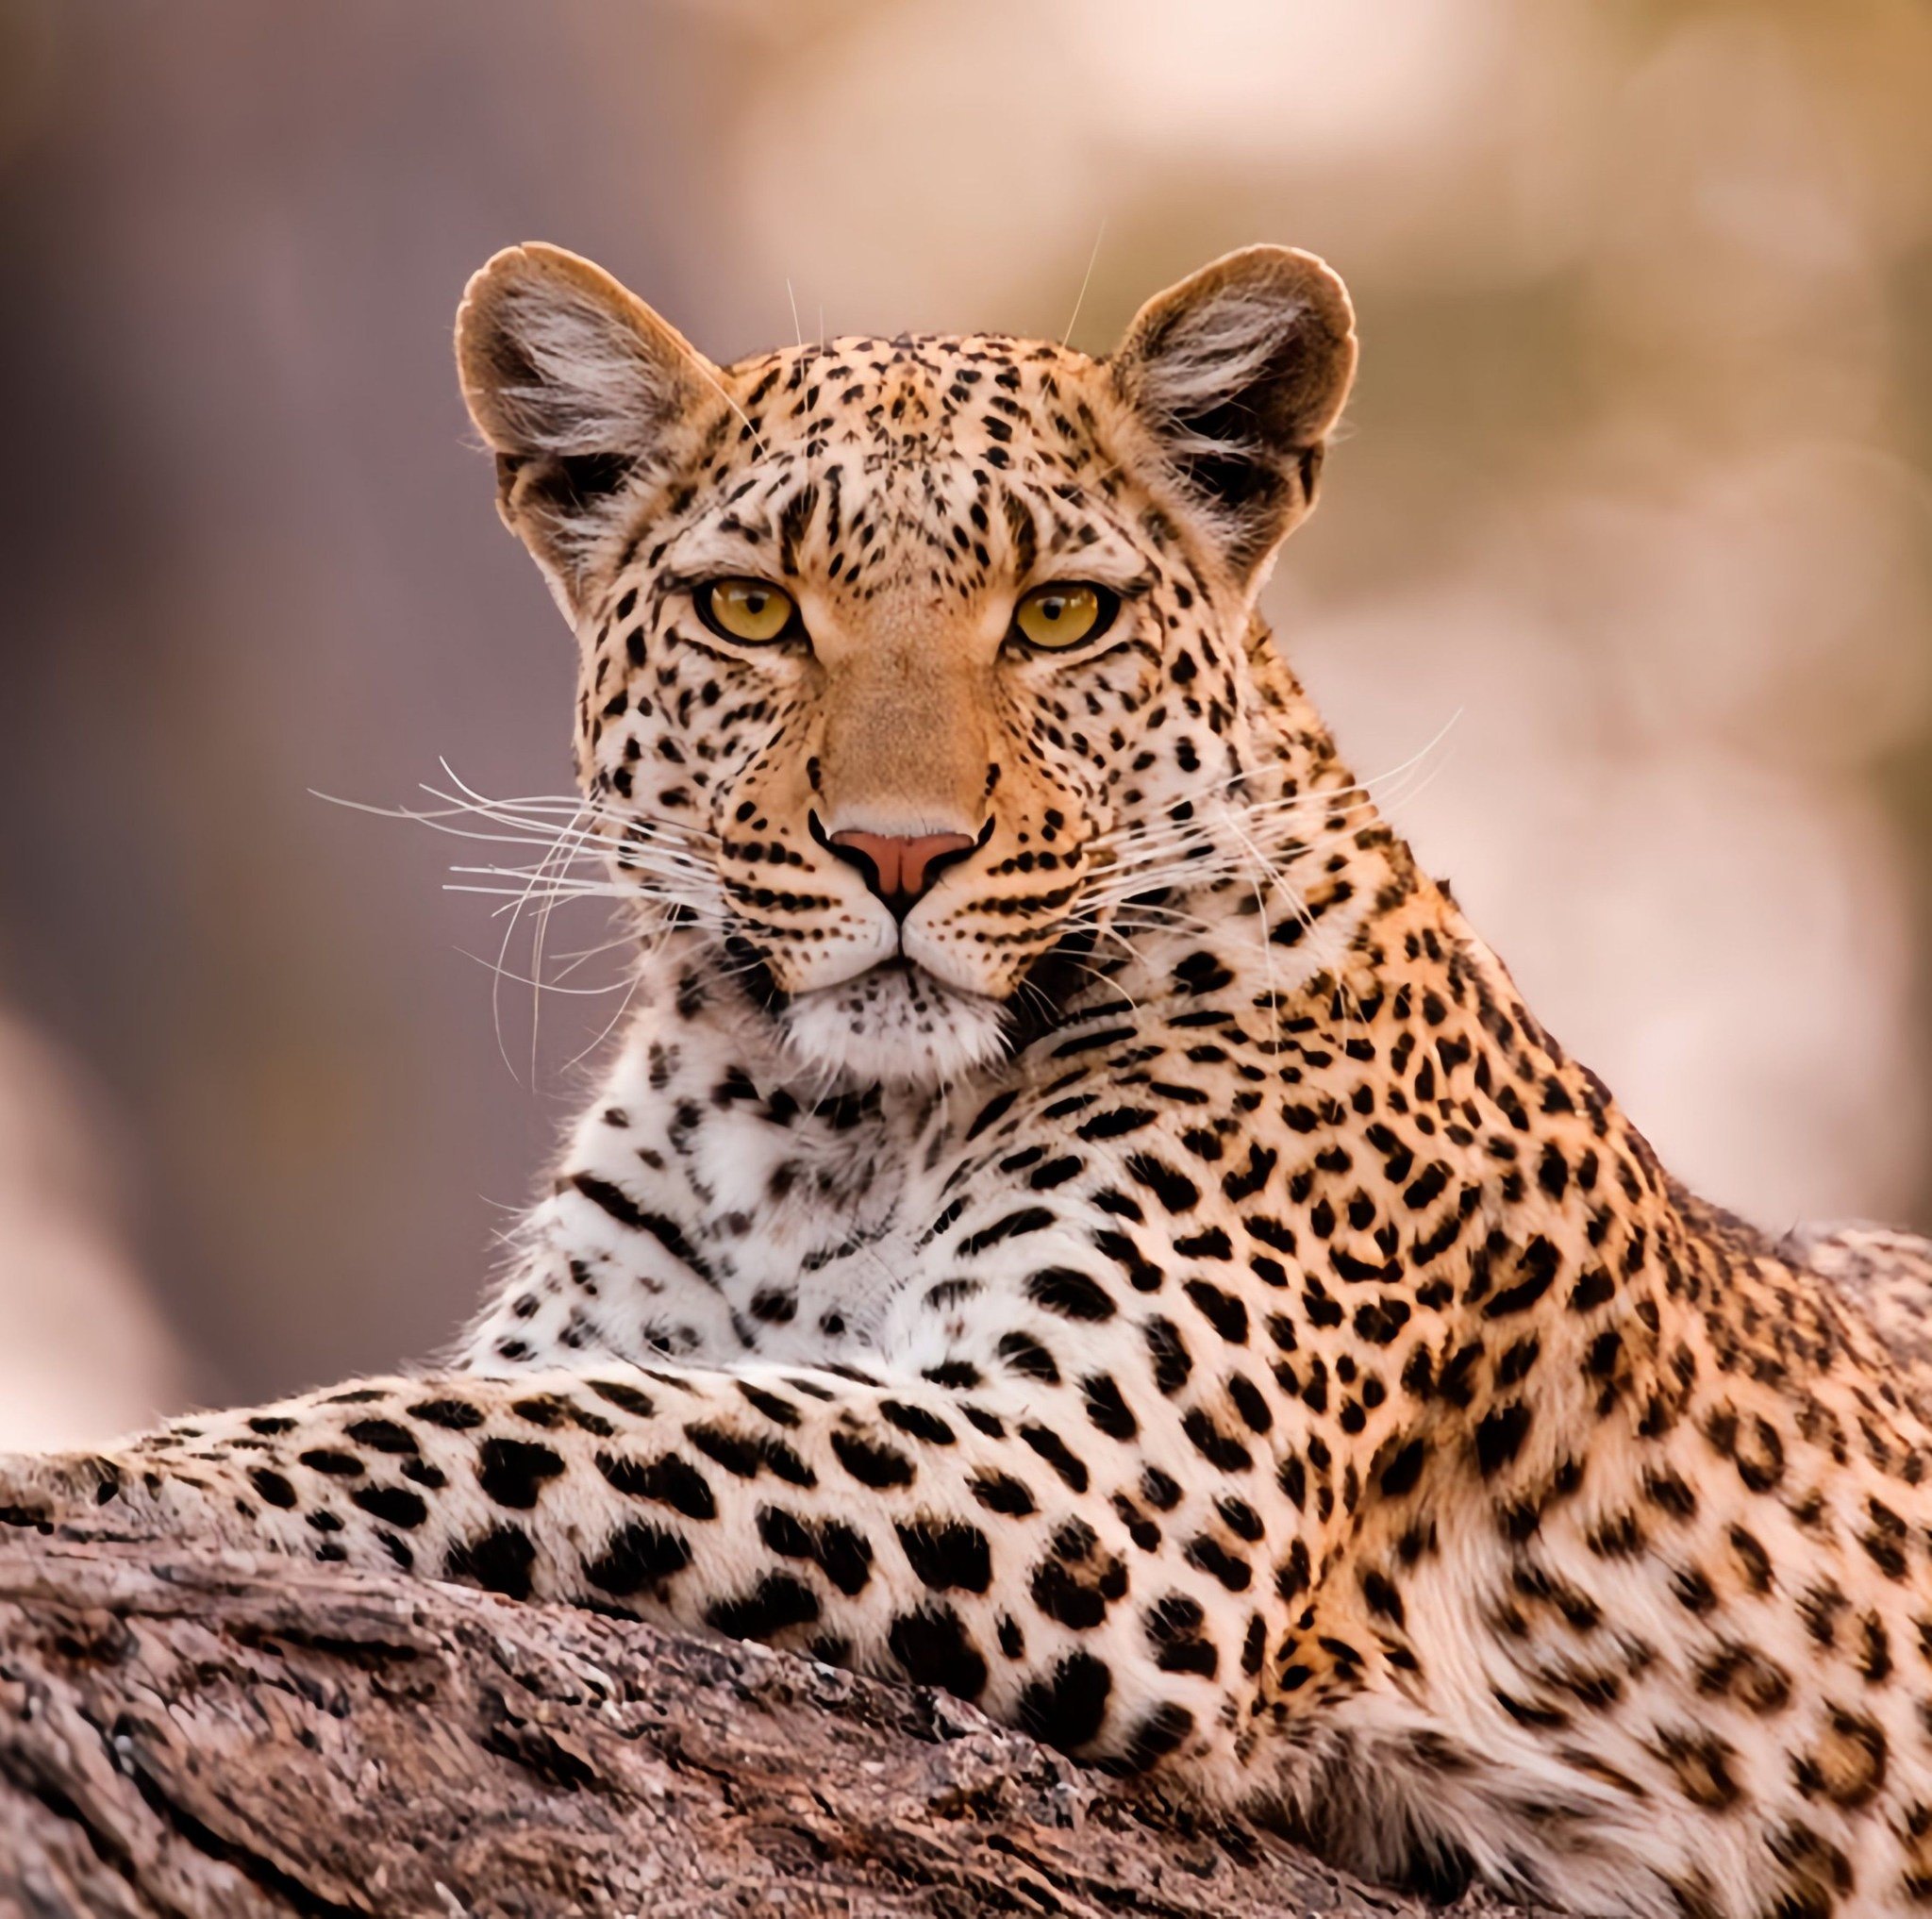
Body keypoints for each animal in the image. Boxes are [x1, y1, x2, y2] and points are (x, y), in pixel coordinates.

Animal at [7, 238, 1932, 1918]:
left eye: (1059, 614)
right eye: (751, 609)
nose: (897, 852)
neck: (816, 1127)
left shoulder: (1109, 1480)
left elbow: (536, 1426)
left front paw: (93, 1472)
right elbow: (542, 1395)